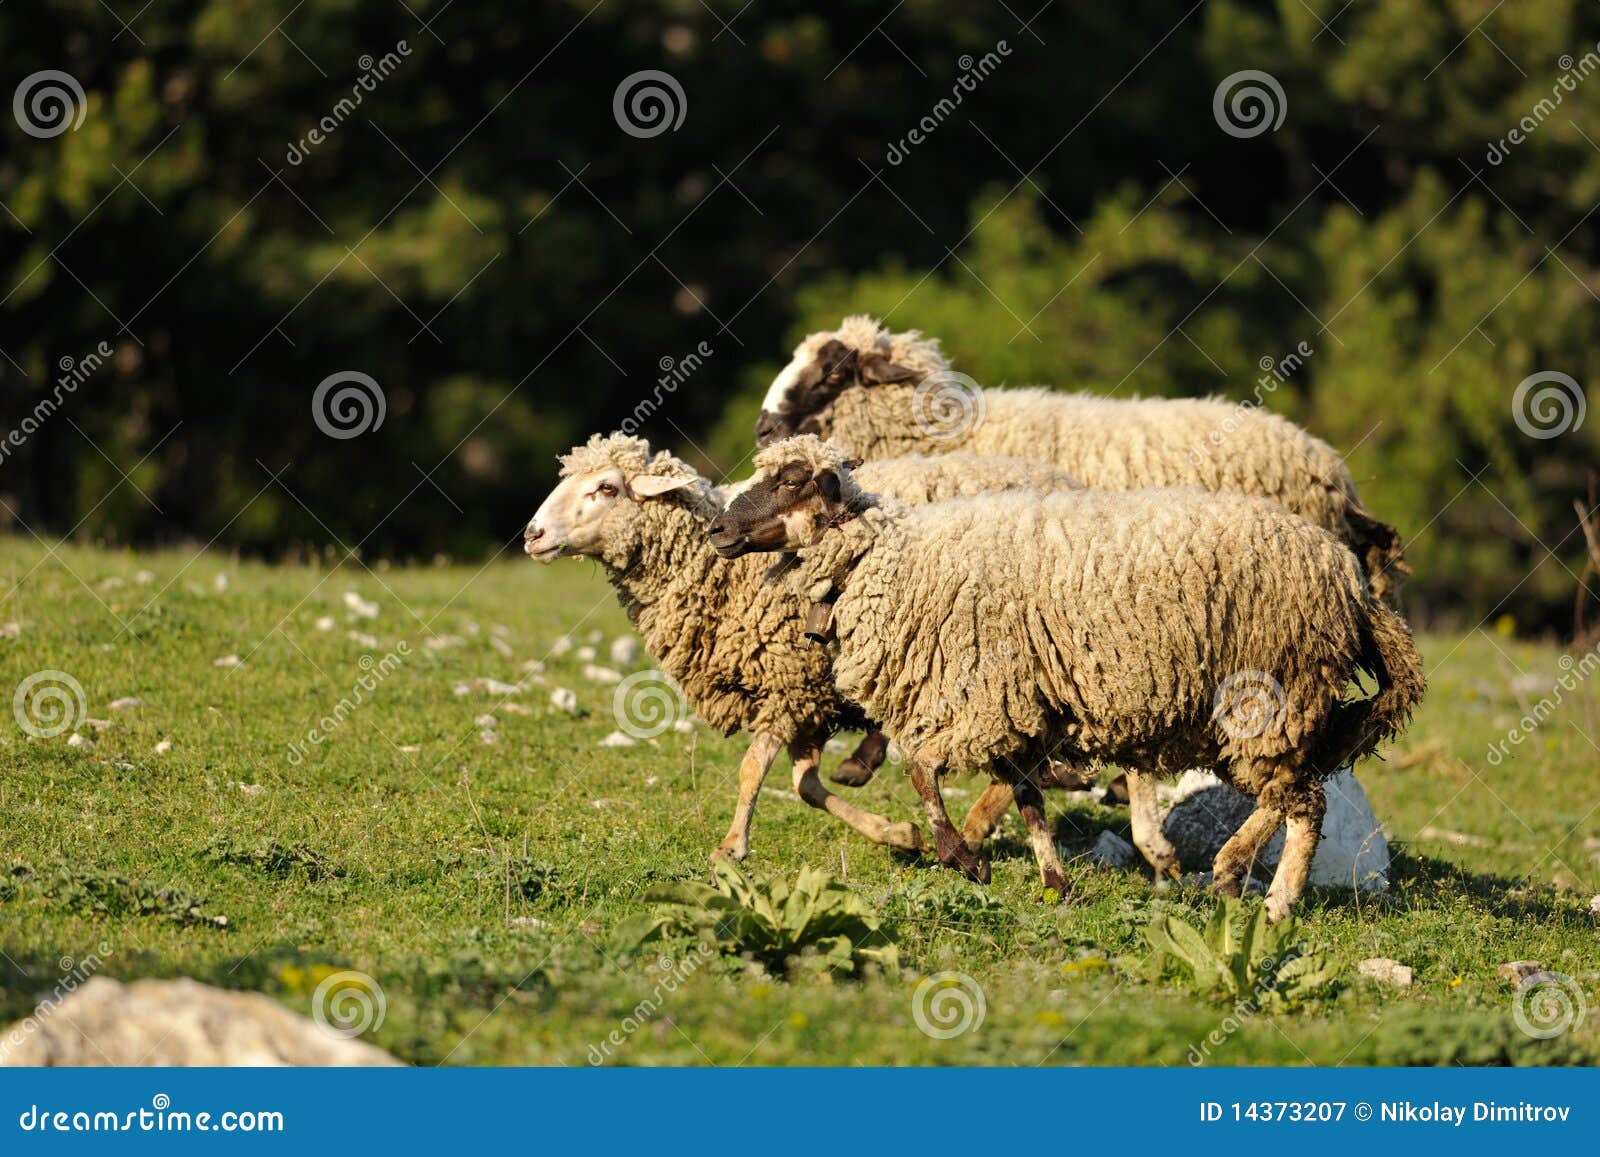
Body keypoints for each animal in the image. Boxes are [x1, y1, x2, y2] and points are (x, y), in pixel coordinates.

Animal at [524, 433, 1086, 865]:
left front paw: (732, 847)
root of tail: (1066, 480)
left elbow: (754, 770)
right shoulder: (805, 699)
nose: (532, 535)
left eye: (606, 488)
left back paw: (976, 826)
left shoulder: (790, 683)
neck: (720, 579)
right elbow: (807, 787)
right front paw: (897, 834)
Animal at [708, 436, 1425, 921]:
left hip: (1270, 693)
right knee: (1292, 792)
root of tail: (1352, 581)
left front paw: (961, 857)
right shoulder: (1021, 703)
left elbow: (921, 770)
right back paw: (1234, 876)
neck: (890, 560)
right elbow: (1025, 794)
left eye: (791, 480)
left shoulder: (979, 694)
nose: (717, 529)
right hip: (1260, 706)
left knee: (1303, 801)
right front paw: (1055, 880)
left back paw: (1267, 899)